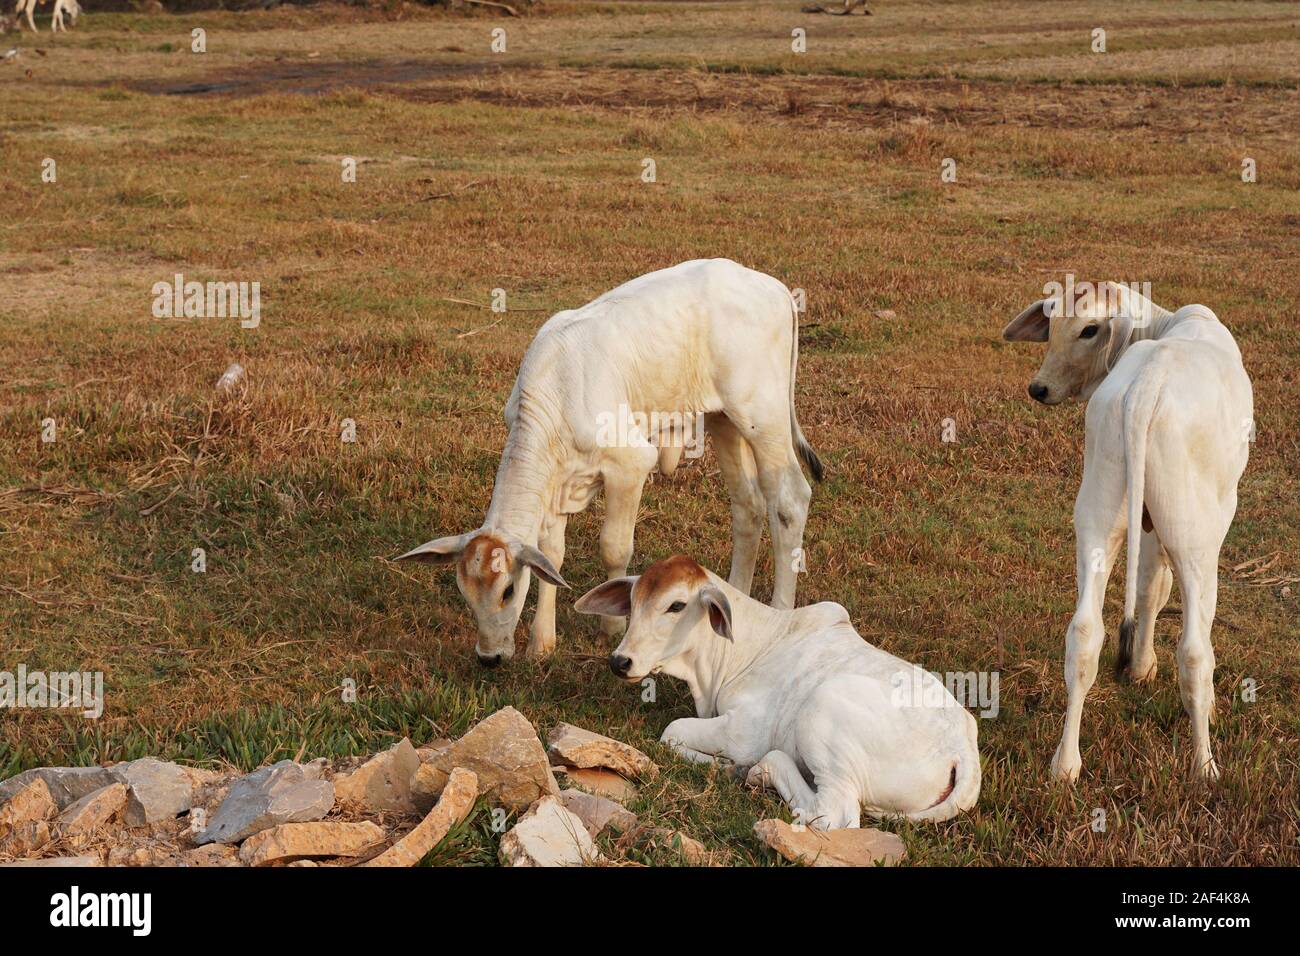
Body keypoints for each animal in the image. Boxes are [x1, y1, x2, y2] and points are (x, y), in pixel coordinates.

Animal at [397, 259, 823, 666]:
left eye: (508, 591)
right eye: (464, 594)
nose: (489, 658)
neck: (557, 394)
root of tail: (773, 287)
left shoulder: (630, 465)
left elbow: (614, 548)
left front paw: (612, 626)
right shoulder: (556, 482)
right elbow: (552, 554)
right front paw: (541, 642)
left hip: (763, 417)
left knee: (789, 499)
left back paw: (780, 612)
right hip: (723, 420)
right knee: (747, 505)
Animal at [575, 555, 981, 827]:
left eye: (676, 605)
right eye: (633, 602)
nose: (620, 661)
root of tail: (961, 747)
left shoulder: (744, 732)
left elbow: (672, 731)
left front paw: (730, 766)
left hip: (822, 712)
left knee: (832, 813)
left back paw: (759, 773)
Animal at [1002, 281, 1254, 782]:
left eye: (1088, 329)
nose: (1039, 387)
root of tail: (1145, 389)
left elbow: (1147, 590)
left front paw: (1138, 667)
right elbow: (1164, 595)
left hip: (1097, 518)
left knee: (1084, 634)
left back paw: (1065, 765)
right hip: (1194, 534)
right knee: (1194, 650)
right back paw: (1204, 766)